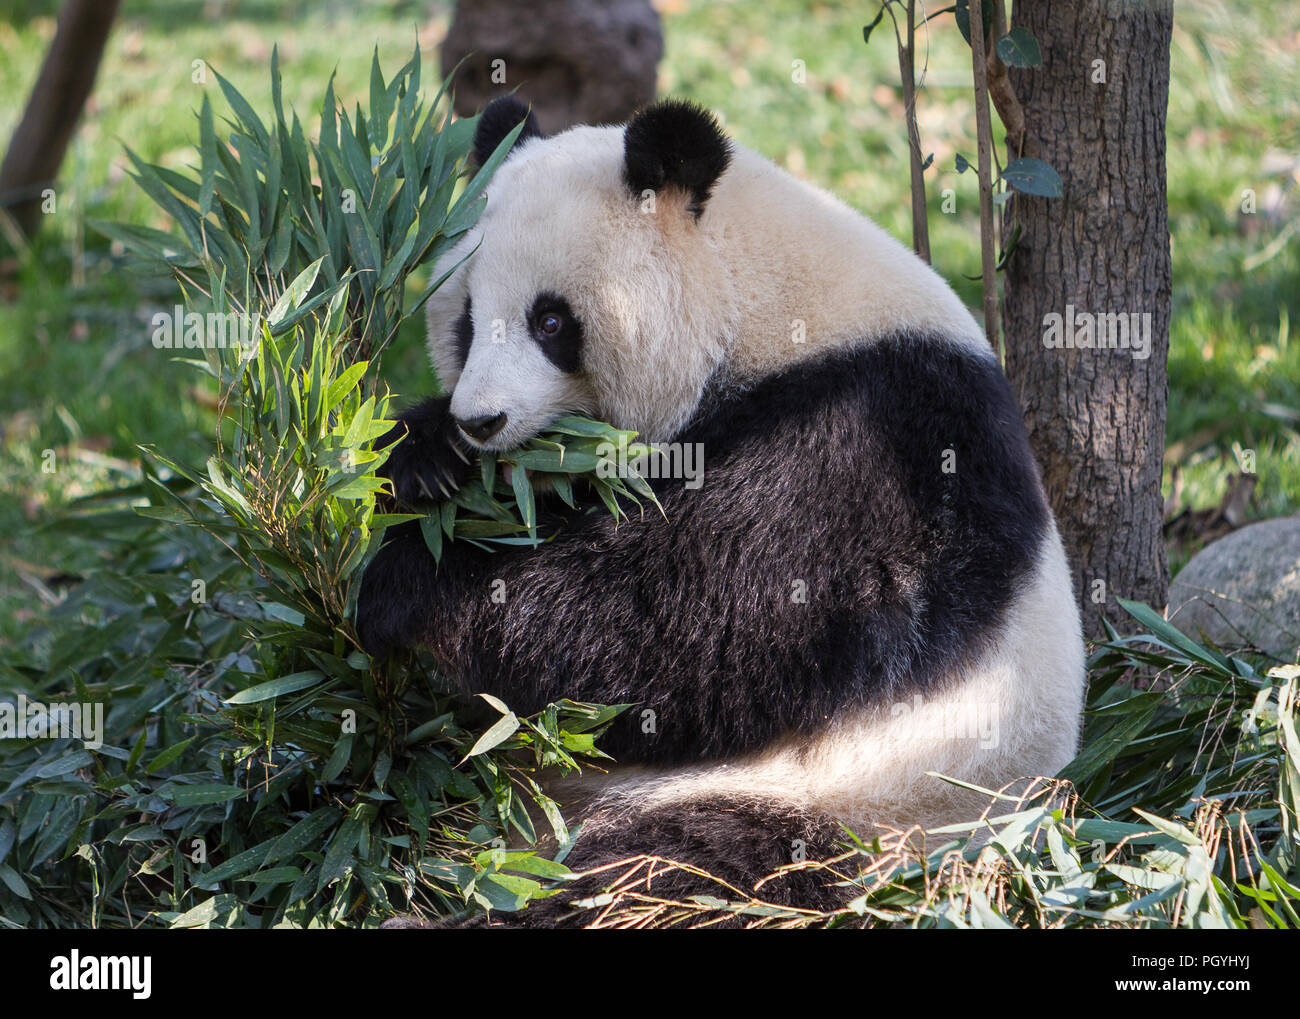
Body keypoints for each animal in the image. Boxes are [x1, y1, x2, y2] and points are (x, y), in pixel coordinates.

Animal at [357, 96, 1086, 925]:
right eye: (468, 319)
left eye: (551, 322)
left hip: (870, 803)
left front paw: (407, 585)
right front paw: (425, 458)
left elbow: (691, 620)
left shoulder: (871, 438)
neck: (758, 287)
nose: (482, 421)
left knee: (682, 871)